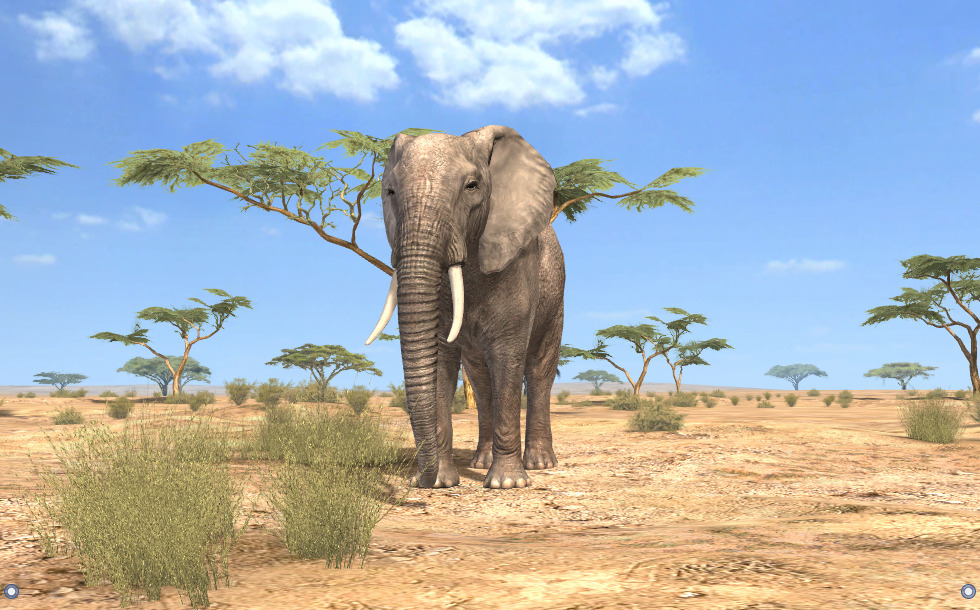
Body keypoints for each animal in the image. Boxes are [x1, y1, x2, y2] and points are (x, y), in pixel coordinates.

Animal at [365, 125, 565, 489]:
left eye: (472, 186)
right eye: (390, 191)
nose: (419, 481)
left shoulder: (517, 263)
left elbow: (507, 357)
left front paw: (506, 484)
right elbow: (439, 358)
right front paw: (441, 483)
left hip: (555, 294)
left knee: (539, 370)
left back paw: (540, 464)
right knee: (481, 381)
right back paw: (480, 461)